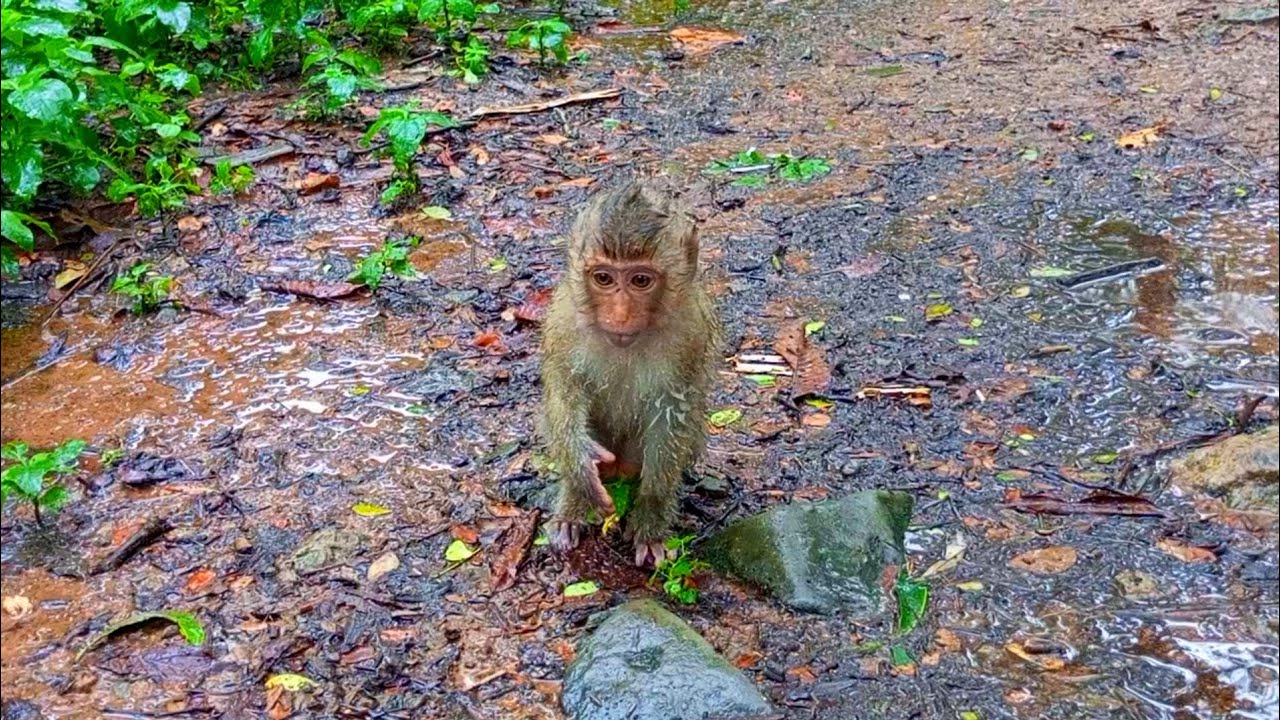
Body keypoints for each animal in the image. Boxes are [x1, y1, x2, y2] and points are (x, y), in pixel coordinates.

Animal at [539, 181, 720, 568]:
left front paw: (651, 519)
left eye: (640, 280)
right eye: (603, 278)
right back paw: (573, 505)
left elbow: (673, 413)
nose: (620, 314)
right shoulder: (562, 321)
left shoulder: (691, 333)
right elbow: (564, 389)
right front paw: (580, 468)